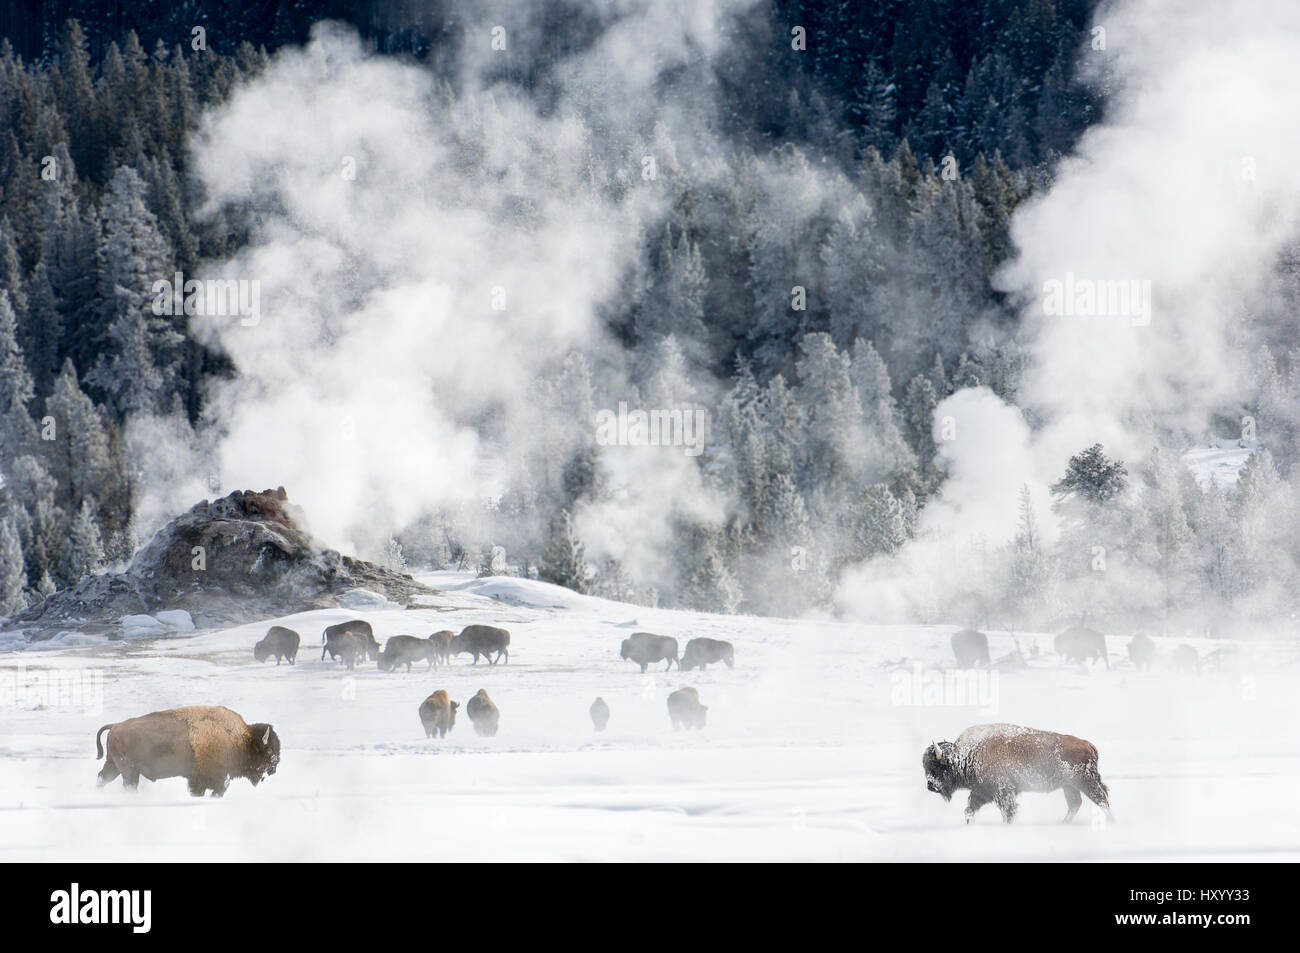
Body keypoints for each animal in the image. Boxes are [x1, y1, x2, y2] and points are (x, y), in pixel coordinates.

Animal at [95, 705, 280, 797]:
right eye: (269, 751)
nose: (274, 768)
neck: (239, 739)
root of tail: (116, 726)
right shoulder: (215, 777)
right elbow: (218, 790)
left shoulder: (198, 778)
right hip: (128, 770)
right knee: (127, 784)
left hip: (114, 765)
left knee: (103, 777)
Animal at [923, 723, 1112, 824]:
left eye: (937, 767)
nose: (930, 786)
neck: (968, 754)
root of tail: (1088, 745)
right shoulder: (981, 791)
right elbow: (969, 810)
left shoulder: (1002, 791)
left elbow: (1008, 812)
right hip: (1069, 786)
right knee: (1075, 804)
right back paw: (1063, 823)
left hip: (1085, 783)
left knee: (1102, 800)